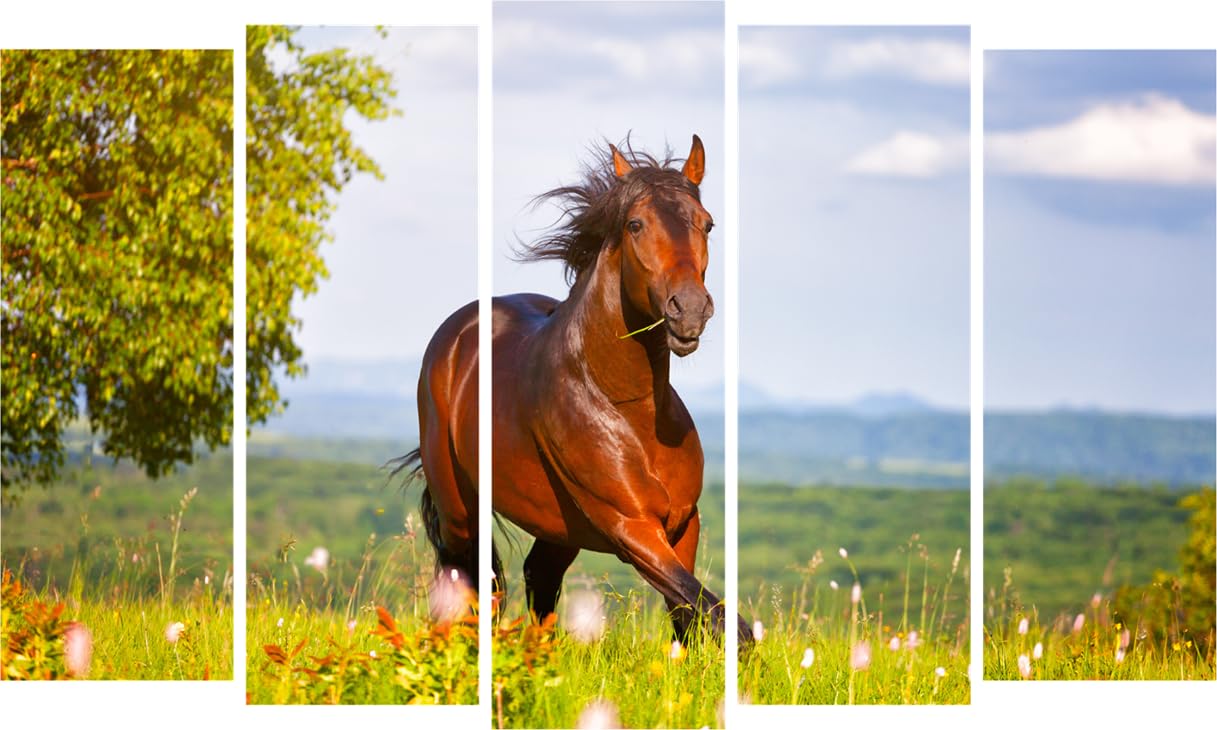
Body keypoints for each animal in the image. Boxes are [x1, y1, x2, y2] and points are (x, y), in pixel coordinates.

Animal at [395, 135, 750, 646]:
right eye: (635, 224)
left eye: (707, 223)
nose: (689, 310)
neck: (629, 409)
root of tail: (452, 337)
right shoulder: (631, 528)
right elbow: (722, 618)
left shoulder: (683, 525)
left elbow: (692, 615)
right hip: (460, 508)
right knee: (468, 581)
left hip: (558, 527)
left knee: (536, 577)